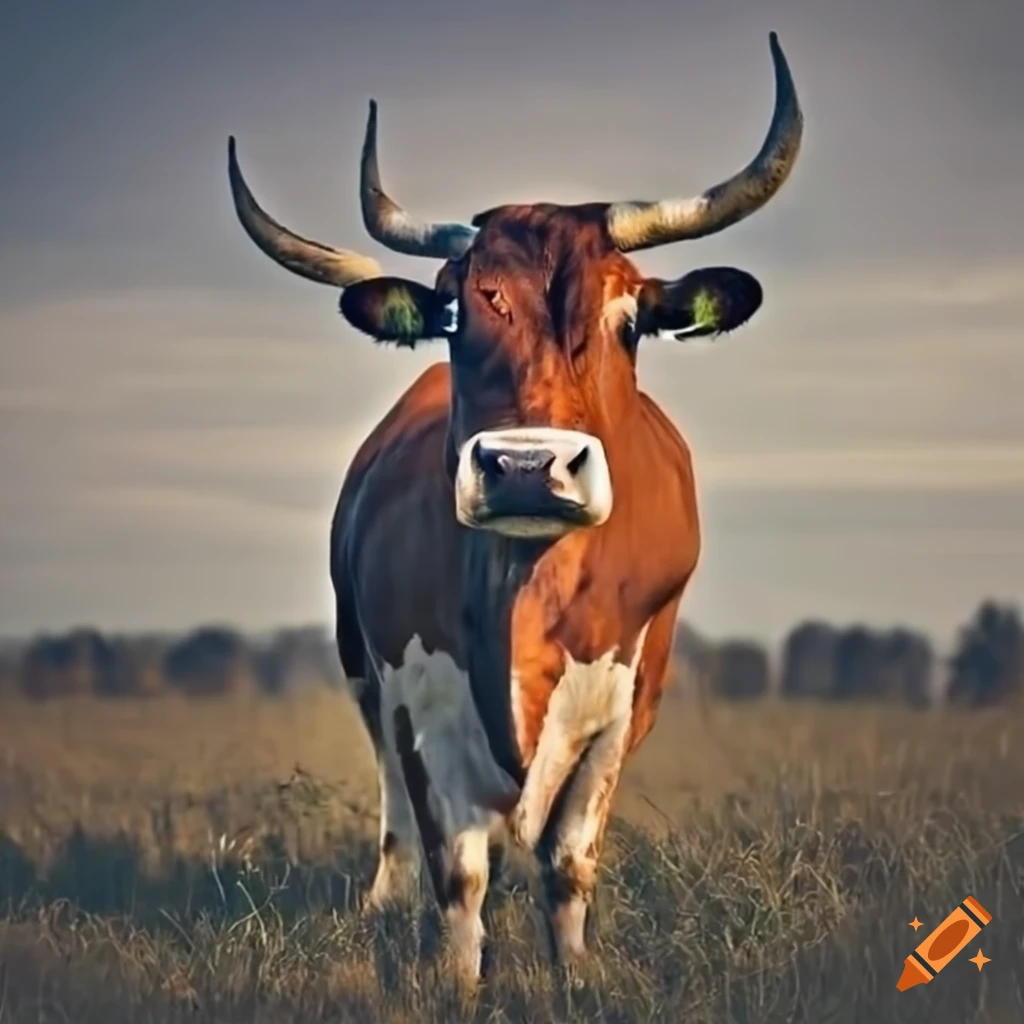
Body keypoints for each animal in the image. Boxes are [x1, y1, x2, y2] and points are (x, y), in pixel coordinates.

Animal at [226, 32, 803, 983]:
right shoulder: (414, 696)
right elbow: (456, 870)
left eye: (629, 322)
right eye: (458, 316)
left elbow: (568, 863)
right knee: (398, 808)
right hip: (361, 670)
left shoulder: (621, 705)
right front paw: (456, 982)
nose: (526, 467)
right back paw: (385, 902)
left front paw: (574, 980)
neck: (526, 593)